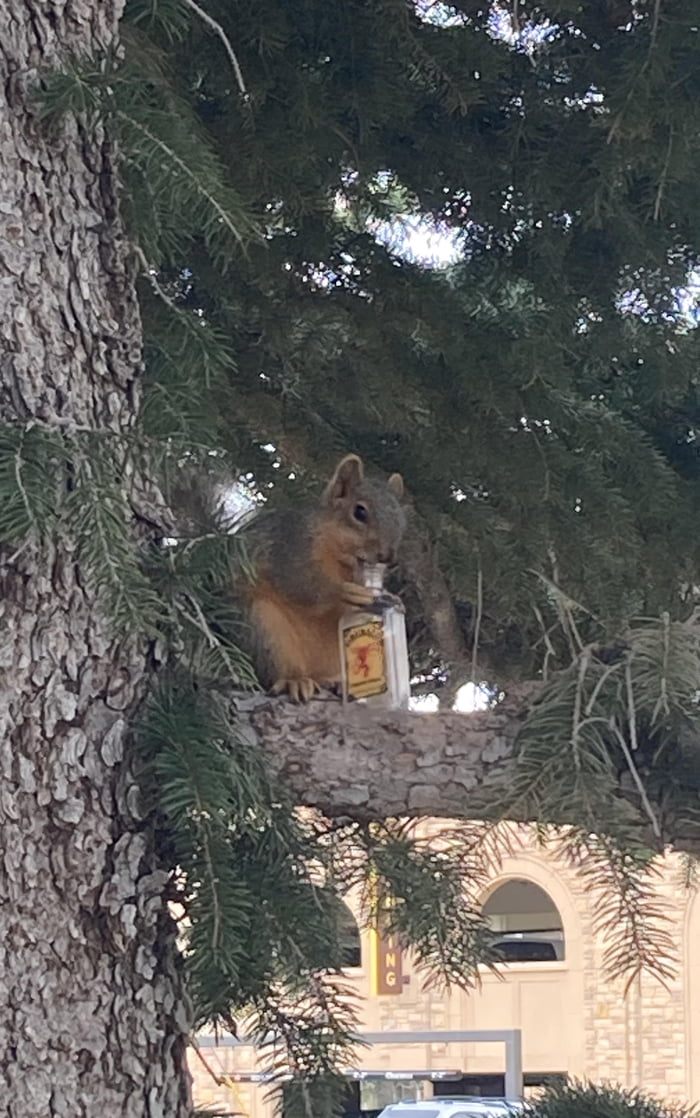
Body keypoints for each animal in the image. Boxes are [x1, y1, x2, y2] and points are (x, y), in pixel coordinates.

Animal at [242, 454, 406, 701]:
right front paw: (344, 591)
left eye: (402, 521)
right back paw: (295, 681)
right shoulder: (289, 550)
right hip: (264, 626)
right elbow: (302, 586)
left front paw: (392, 598)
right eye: (359, 512)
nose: (390, 557)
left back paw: (335, 682)